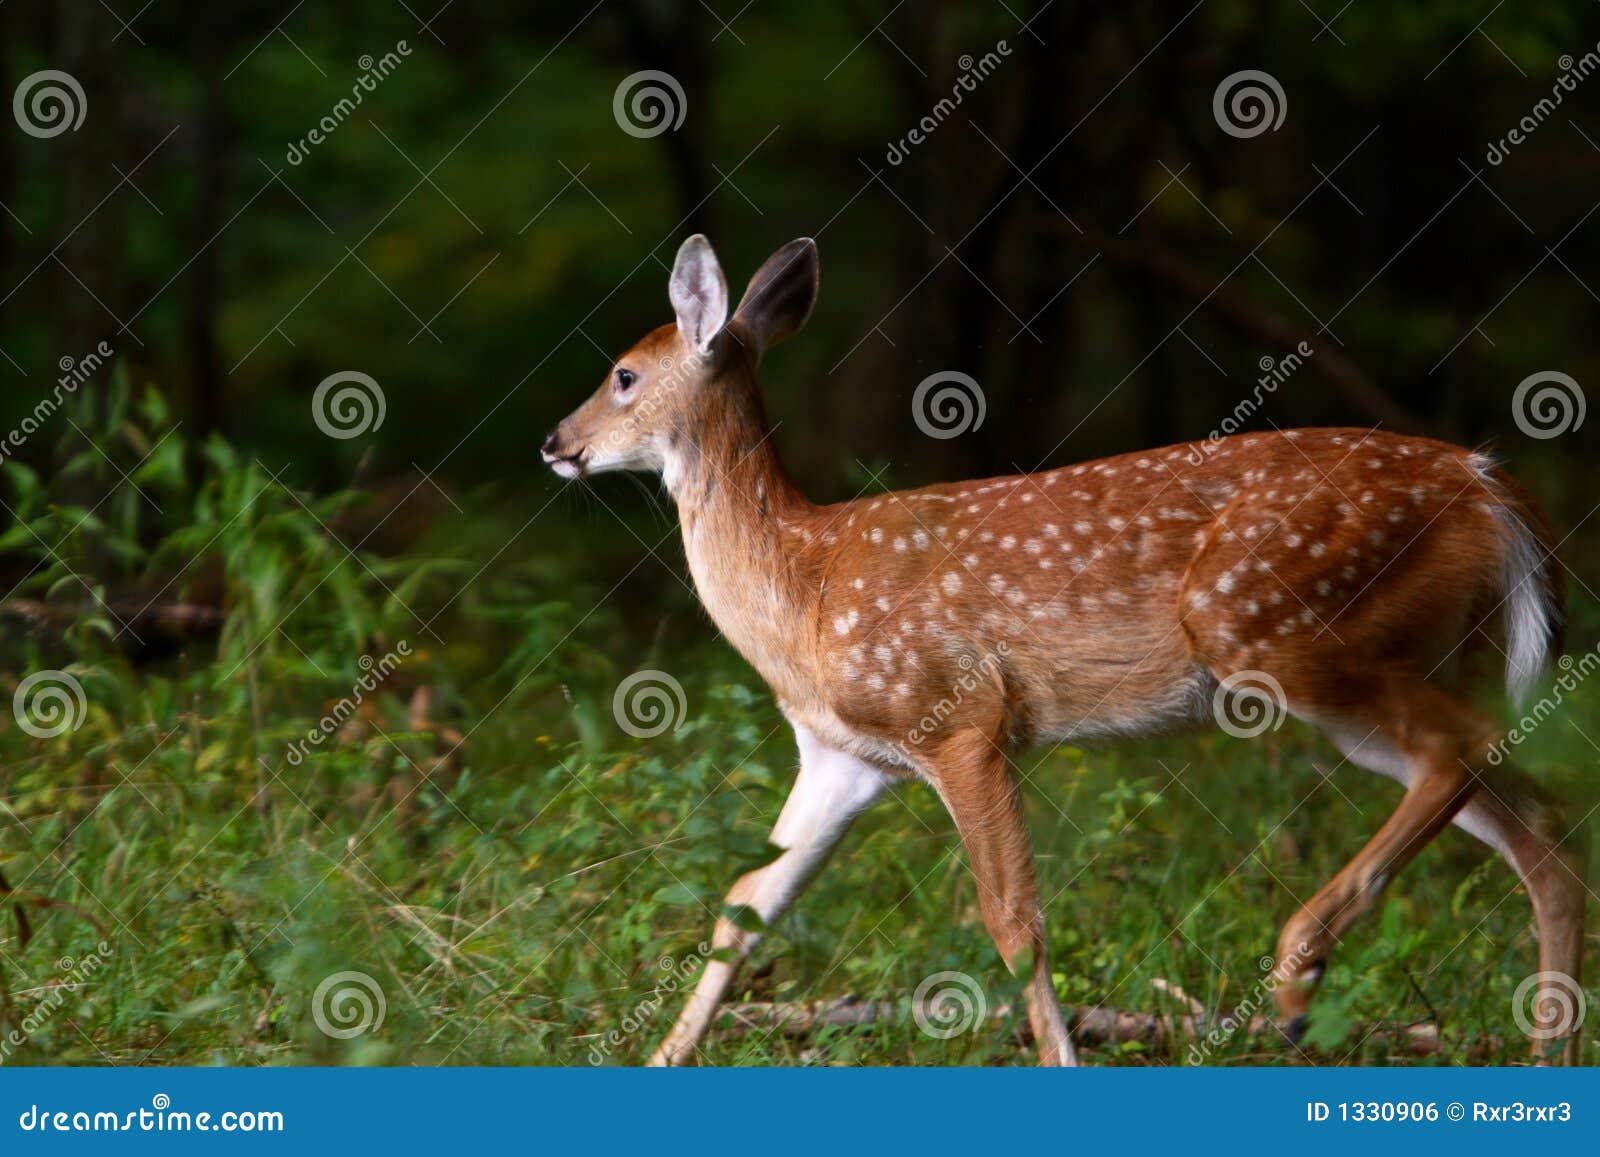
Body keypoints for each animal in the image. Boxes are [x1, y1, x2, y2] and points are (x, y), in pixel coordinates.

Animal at [542, 234, 1587, 1066]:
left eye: (624, 373)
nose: (555, 440)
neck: (805, 589)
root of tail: (1489, 482)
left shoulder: (961, 715)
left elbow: (1015, 924)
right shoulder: (845, 757)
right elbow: (747, 902)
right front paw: (661, 1060)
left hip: (1279, 627)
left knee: (1464, 761)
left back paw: (1298, 975)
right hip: (1409, 657)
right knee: (1537, 821)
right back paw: (1544, 1055)